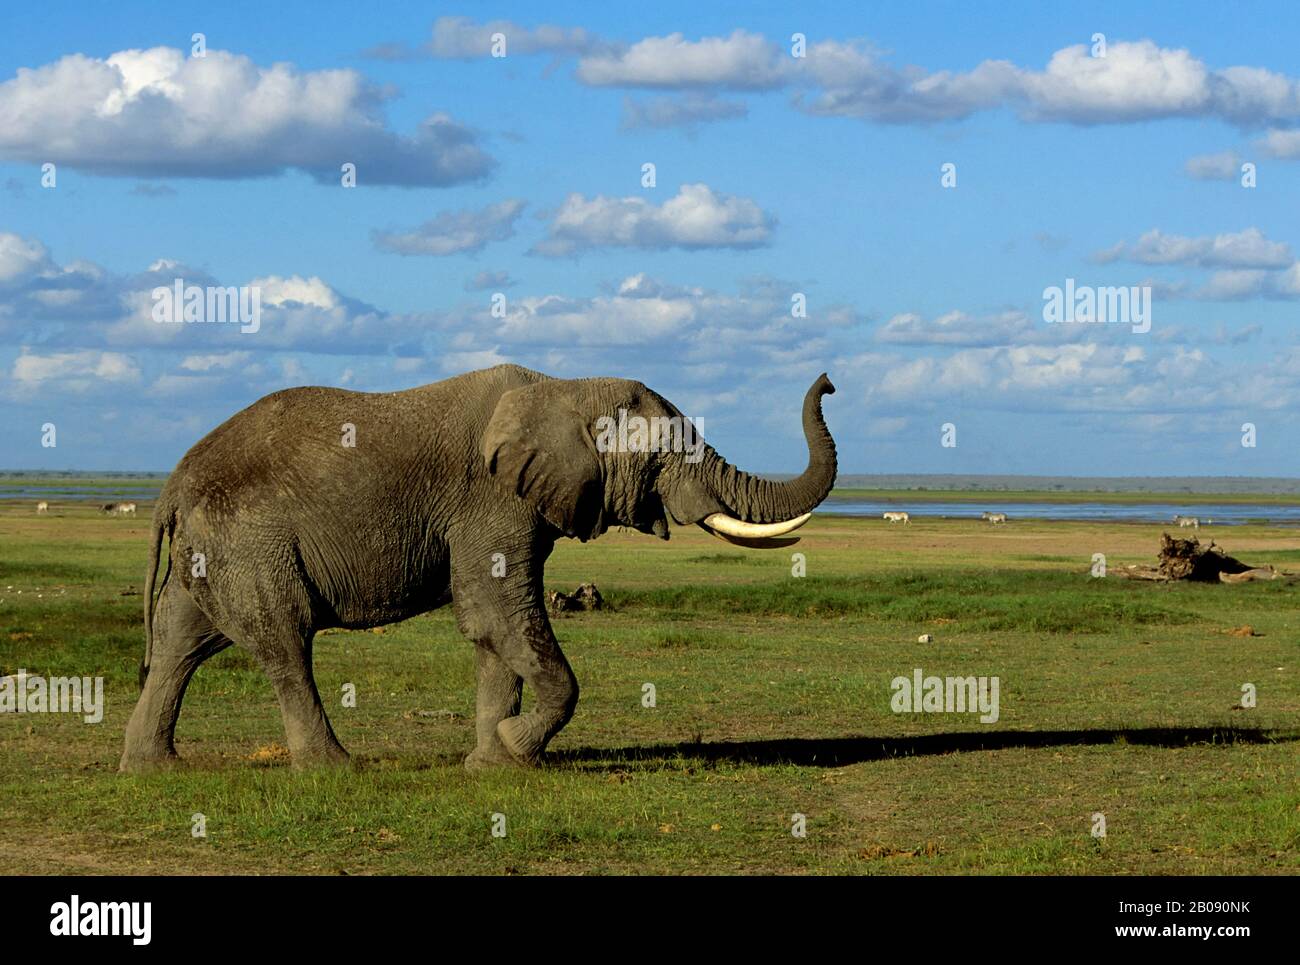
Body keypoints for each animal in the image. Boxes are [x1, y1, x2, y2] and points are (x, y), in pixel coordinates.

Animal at [119, 364, 837, 772]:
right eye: (663, 457)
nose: (830, 382)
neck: (562, 389)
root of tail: (171, 486)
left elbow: (499, 629)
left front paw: (492, 765)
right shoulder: (488, 499)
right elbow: (497, 613)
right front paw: (516, 746)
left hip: (213, 546)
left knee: (182, 642)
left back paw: (154, 770)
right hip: (250, 539)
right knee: (285, 641)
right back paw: (335, 771)